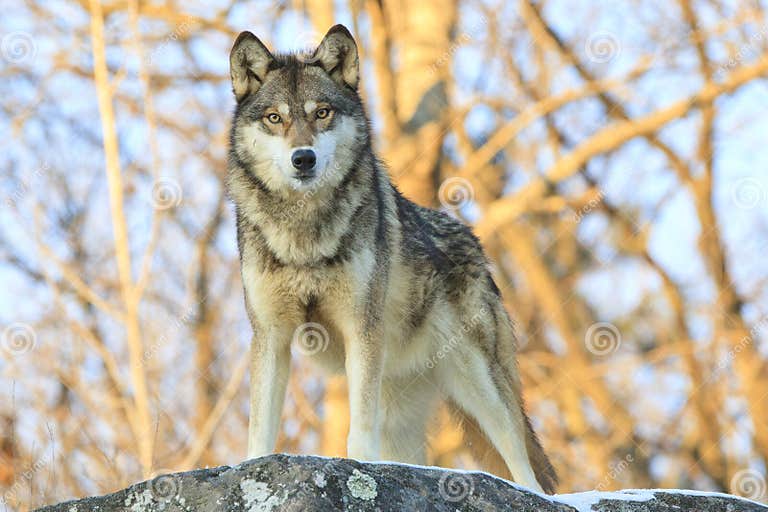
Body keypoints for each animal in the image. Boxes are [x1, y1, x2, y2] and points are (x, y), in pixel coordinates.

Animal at [226, 24, 557, 493]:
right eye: (275, 118)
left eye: (322, 113)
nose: (303, 158)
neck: (304, 231)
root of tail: (476, 245)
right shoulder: (270, 335)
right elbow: (260, 428)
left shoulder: (360, 328)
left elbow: (359, 433)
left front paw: (360, 469)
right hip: (401, 409)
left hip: (477, 380)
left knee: (522, 464)